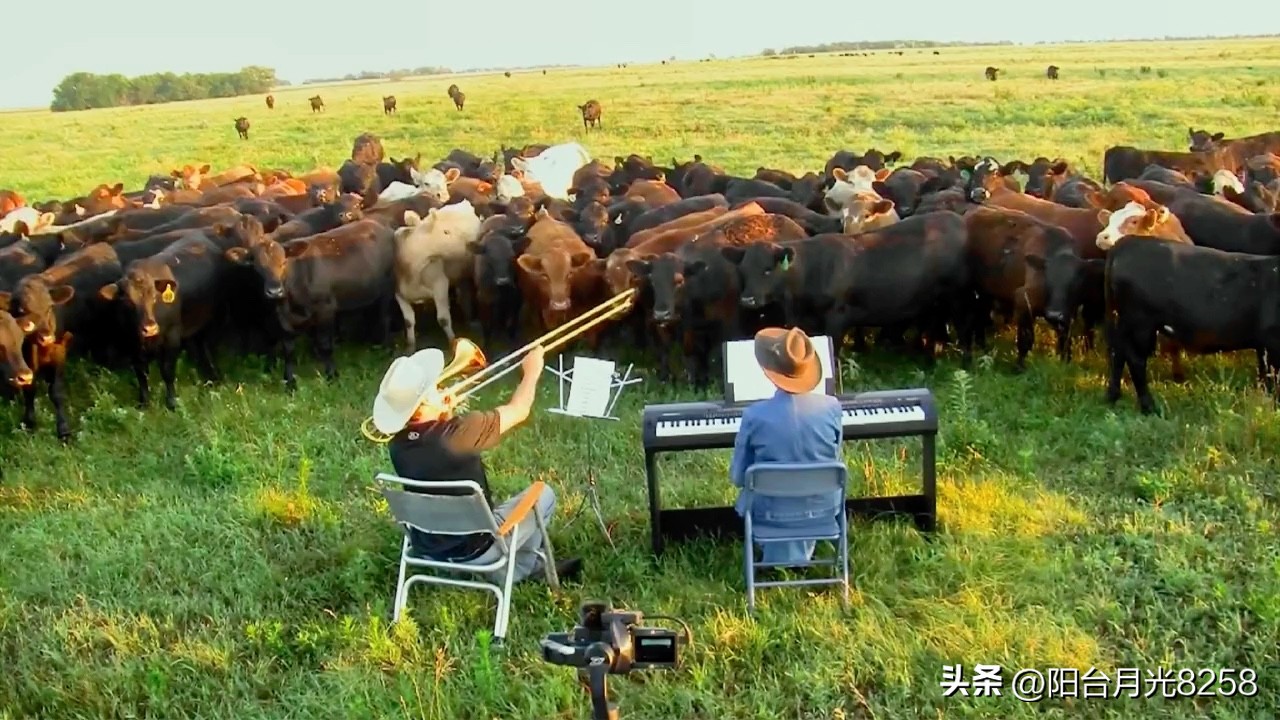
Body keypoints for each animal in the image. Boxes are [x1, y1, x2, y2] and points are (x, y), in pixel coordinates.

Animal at [97, 233, 232, 409]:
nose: (150, 328)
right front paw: (144, 402)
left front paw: (172, 402)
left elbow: (167, 371)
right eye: (127, 301)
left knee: (207, 345)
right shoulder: (130, 343)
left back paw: (214, 376)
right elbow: (141, 374)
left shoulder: (172, 336)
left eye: (155, 297)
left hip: (215, 316)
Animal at [224, 219, 396, 388]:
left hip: (387, 288)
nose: (274, 291)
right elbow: (288, 350)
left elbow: (325, 345)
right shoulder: (282, 318)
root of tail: (378, 224)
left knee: (385, 318)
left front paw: (332, 376)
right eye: (258, 266)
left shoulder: (325, 308)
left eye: (283, 262)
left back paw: (385, 349)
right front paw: (289, 382)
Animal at [389, 202, 483, 348]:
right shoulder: (399, 294)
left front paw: (452, 341)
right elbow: (408, 321)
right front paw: (411, 346)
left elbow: (443, 319)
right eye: (446, 232)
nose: (471, 244)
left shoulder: (440, 285)